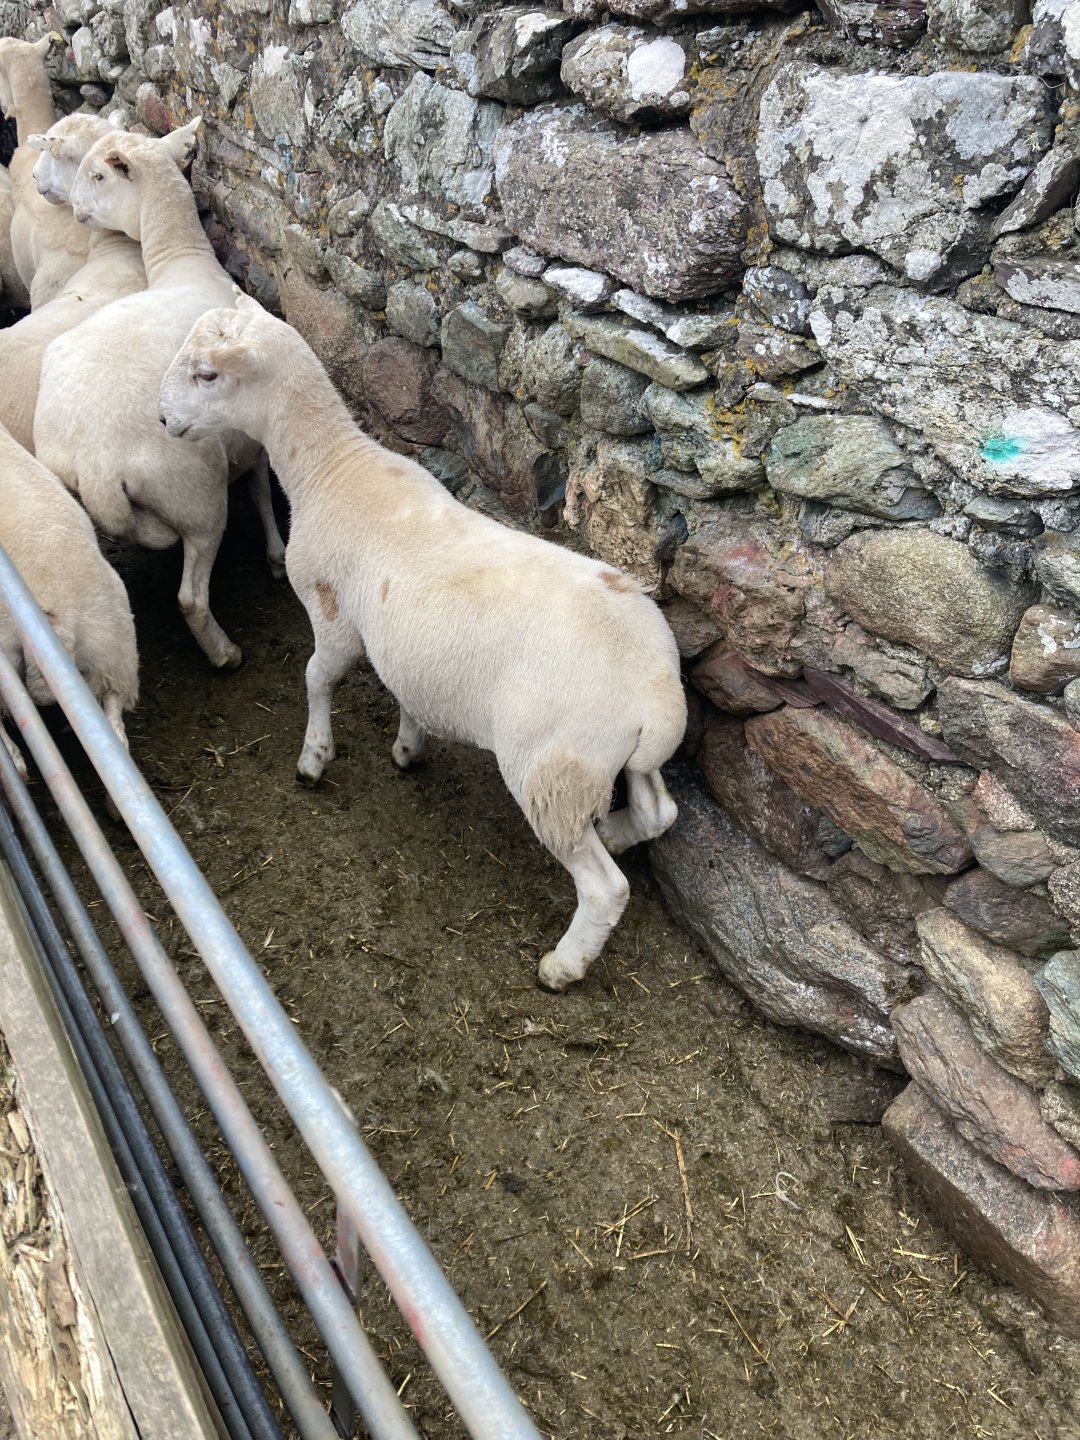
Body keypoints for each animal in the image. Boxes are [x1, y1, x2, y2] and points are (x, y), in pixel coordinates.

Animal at [33, 119, 286, 670]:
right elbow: (260, 486)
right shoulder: (250, 433)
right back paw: (224, 653)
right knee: (190, 598)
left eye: (97, 174)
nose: (73, 206)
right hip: (196, 494)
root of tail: (97, 461)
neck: (183, 262)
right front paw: (278, 556)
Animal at [160, 295, 687, 990]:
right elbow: (405, 691)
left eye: (208, 376)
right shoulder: (397, 637)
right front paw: (408, 748)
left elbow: (316, 678)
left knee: (606, 888)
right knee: (659, 814)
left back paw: (563, 964)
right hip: (621, 760)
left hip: (551, 769)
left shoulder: (332, 613)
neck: (331, 468)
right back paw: (622, 833)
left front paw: (314, 757)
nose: (161, 418)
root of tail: (657, 697)